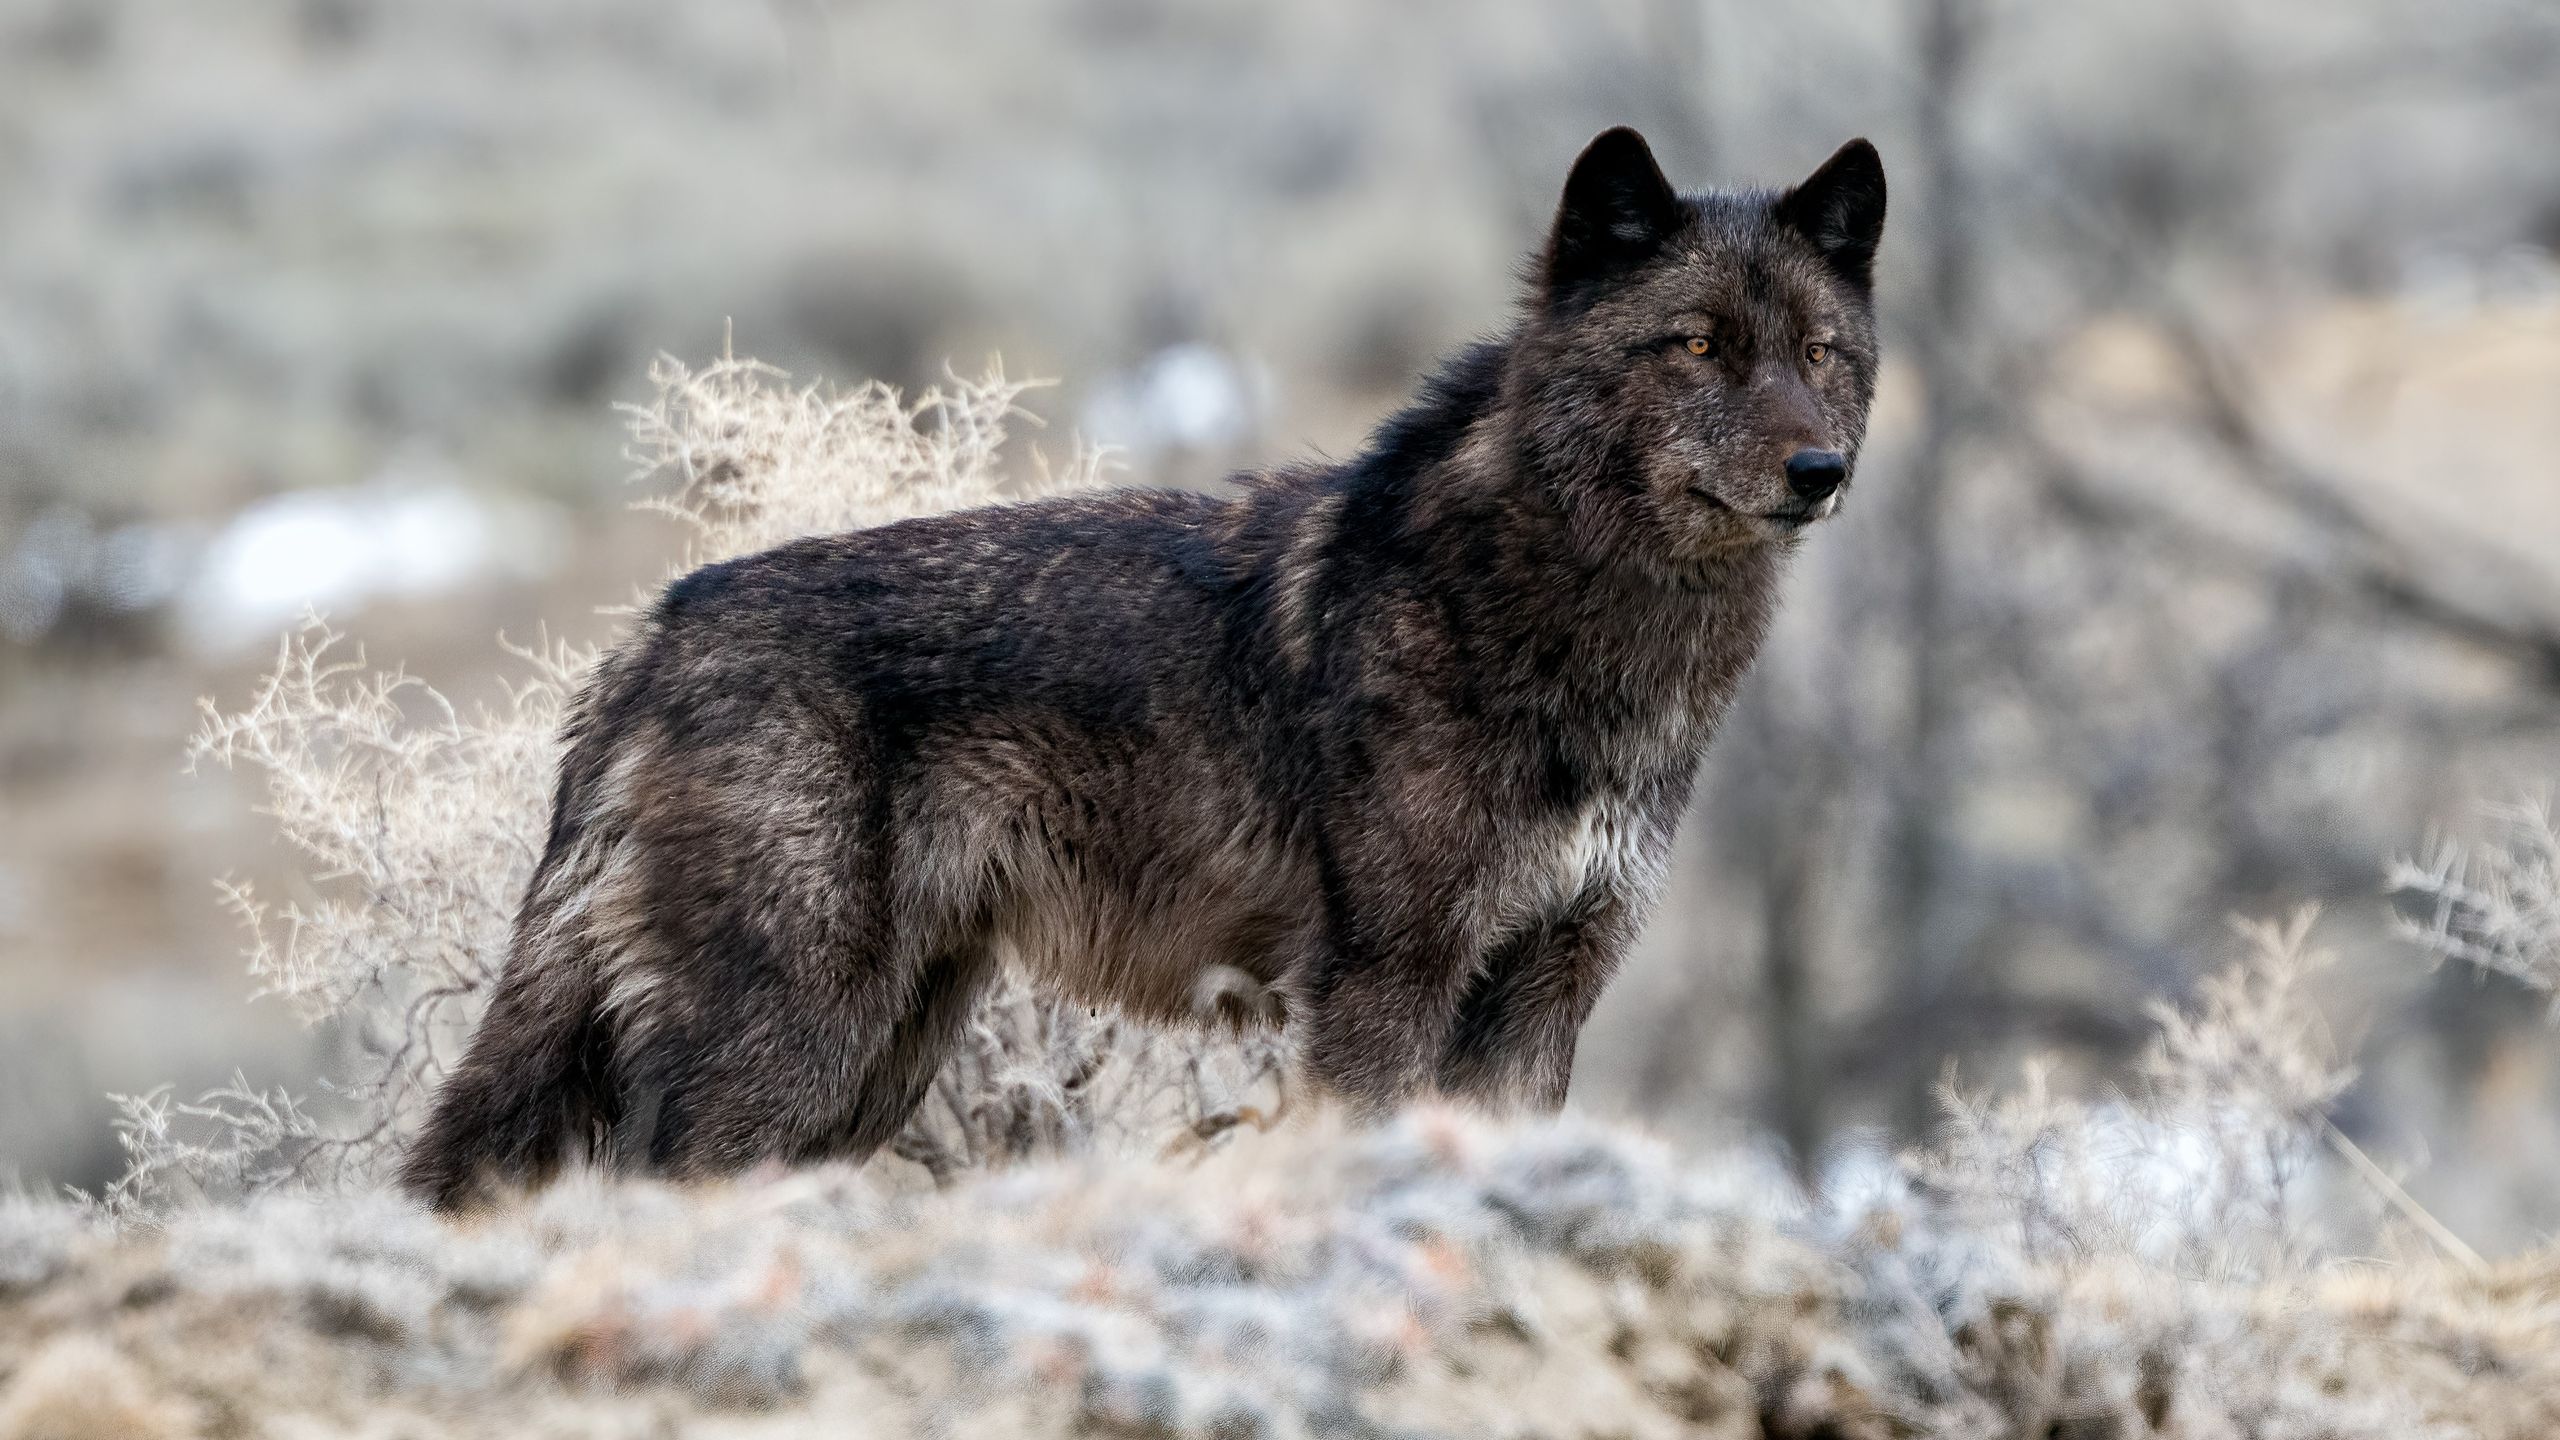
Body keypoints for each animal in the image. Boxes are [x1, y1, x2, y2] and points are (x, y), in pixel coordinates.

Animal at [403, 127, 1886, 1210]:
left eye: (1822, 352)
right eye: (1698, 343)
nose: (1822, 471)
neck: (1578, 626)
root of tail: (656, 631)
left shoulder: (1544, 992)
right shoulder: (1383, 990)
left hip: (872, 1066)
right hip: (787, 1052)